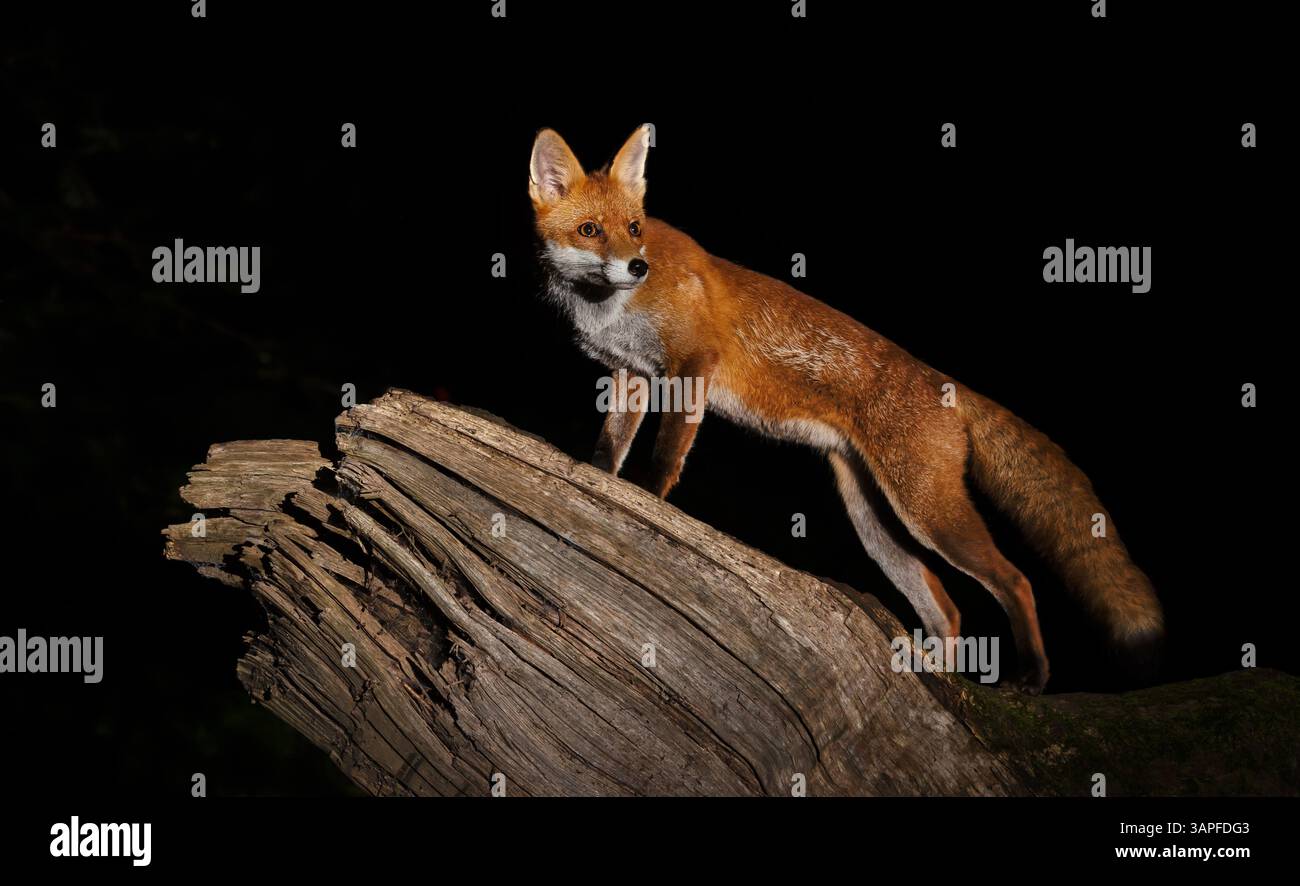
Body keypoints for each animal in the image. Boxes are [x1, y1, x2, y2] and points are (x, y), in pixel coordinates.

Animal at [528, 124, 1163, 693]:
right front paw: (599, 482)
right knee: (947, 605)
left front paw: (650, 508)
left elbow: (664, 458)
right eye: (590, 230)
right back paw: (937, 673)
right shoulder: (632, 373)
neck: (608, 309)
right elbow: (611, 444)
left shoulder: (693, 365)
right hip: (874, 522)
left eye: (635, 229)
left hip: (926, 511)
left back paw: (1032, 676)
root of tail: (945, 382)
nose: (638, 266)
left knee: (1016, 580)